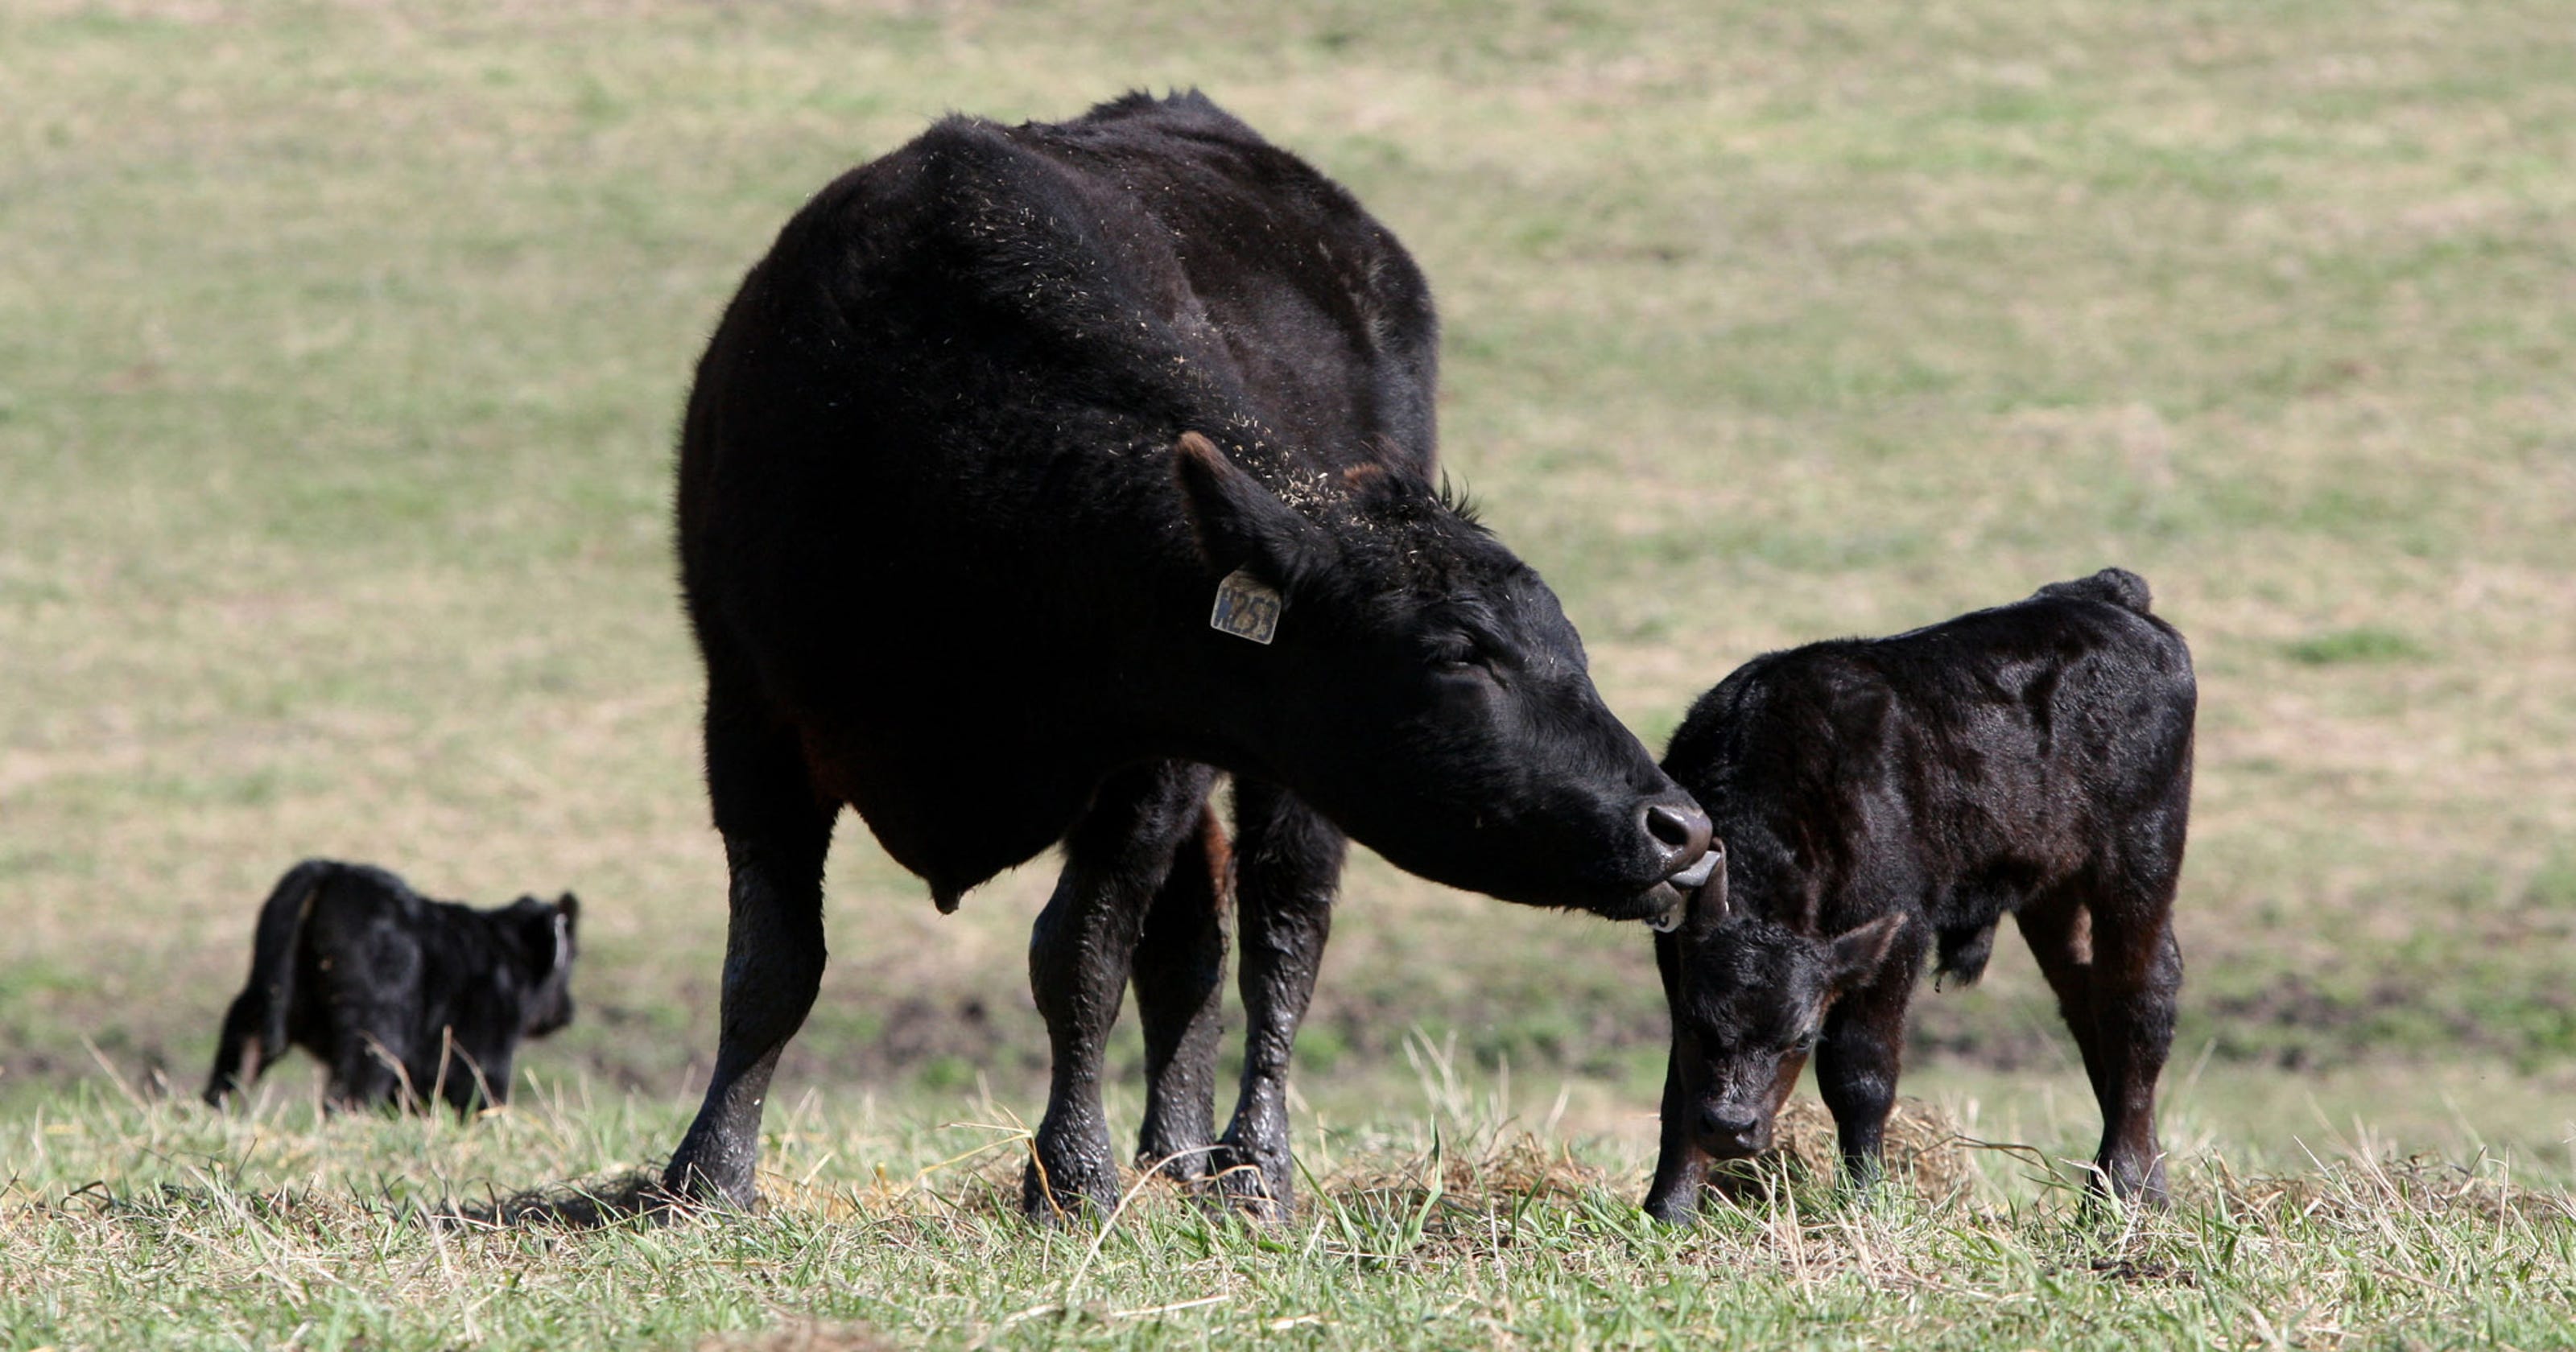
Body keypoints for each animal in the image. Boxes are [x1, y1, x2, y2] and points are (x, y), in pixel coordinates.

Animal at [202, 859, 579, 1114]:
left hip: (262, 1000)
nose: (567, 1013)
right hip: (376, 1033)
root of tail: (331, 871)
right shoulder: (484, 1054)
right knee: (347, 1096)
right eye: (573, 958)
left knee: (237, 1064)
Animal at [663, 90, 1715, 1220]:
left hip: (1274, 773)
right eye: (1460, 653)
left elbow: (1079, 957)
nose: (1682, 828)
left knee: (1275, 936)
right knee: (1192, 946)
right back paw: (1174, 1157)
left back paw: (1251, 1169)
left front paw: (1071, 1178)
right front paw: (706, 1176)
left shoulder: (1156, 743)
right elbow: (772, 961)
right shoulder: (748, 708)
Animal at [1643, 569, 2194, 1221]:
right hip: (2054, 892)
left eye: (1800, 1035)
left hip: (2141, 854)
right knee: (2087, 1002)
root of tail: (2107, 596)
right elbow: (1679, 1084)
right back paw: (2130, 1188)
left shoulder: (1896, 934)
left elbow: (1860, 1072)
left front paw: (1863, 1197)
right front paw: (1668, 1208)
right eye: (1699, 1023)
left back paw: (2125, 1187)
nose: (1731, 1127)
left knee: (2137, 1002)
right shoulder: (1679, 960)